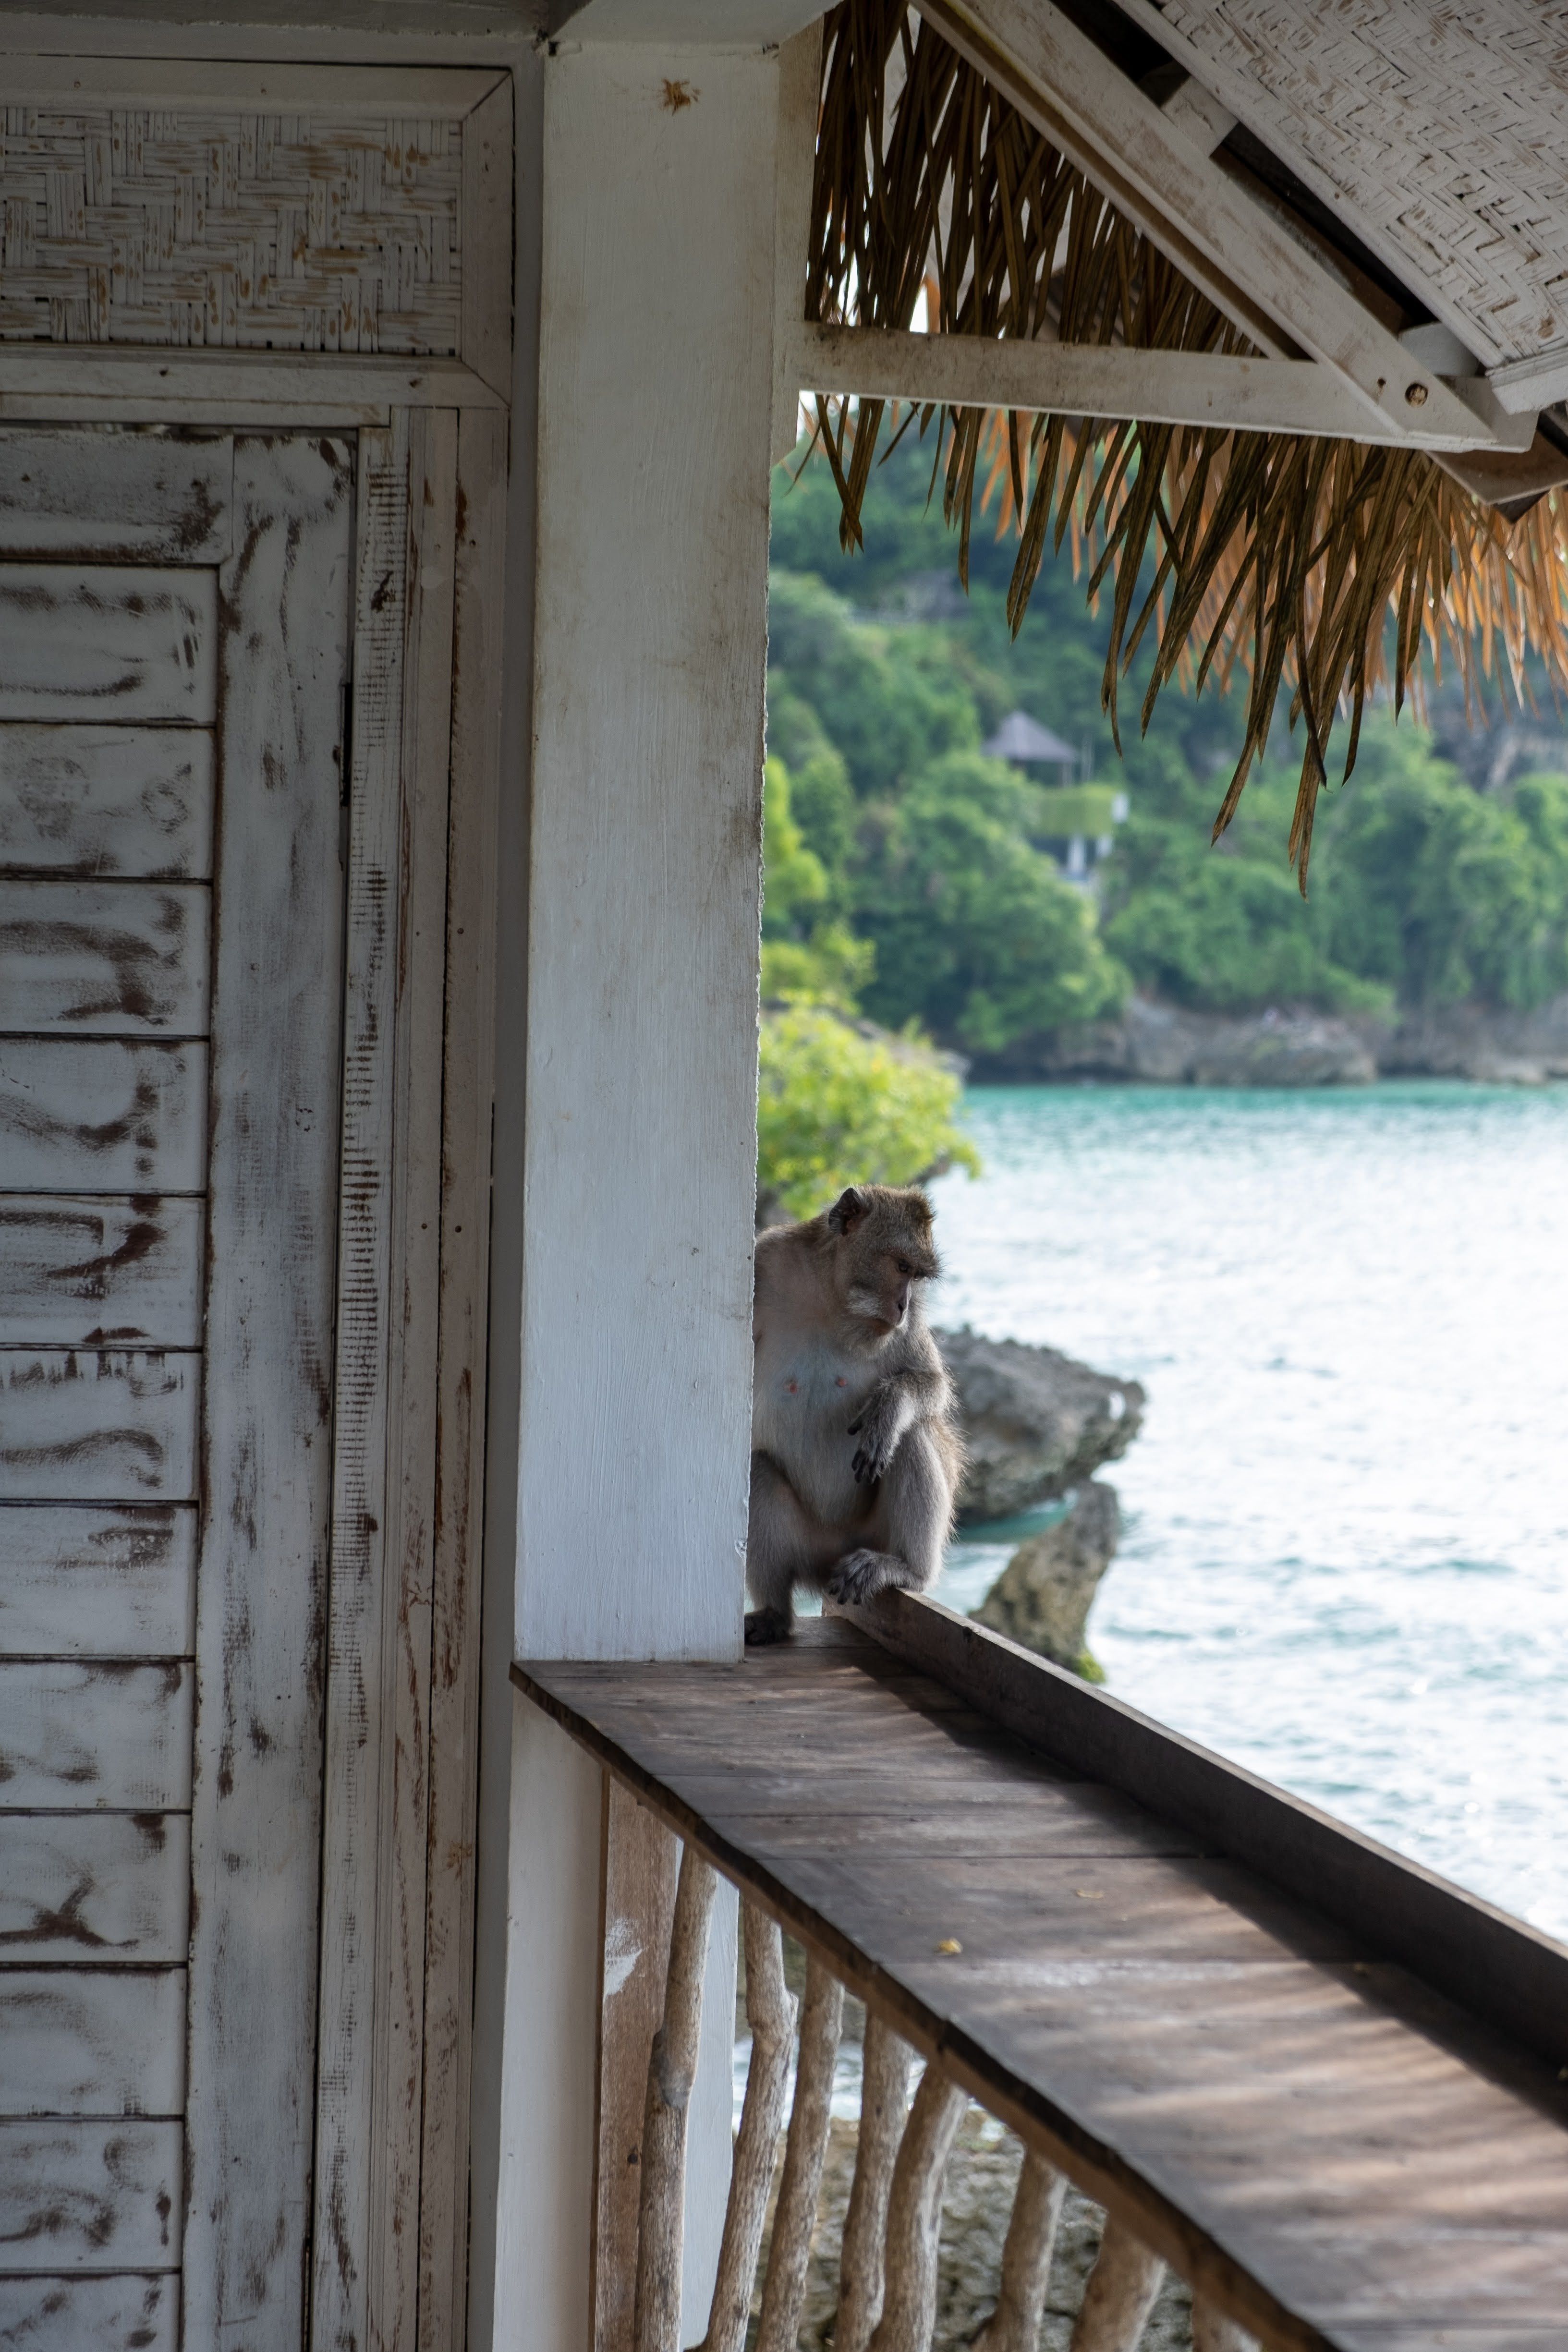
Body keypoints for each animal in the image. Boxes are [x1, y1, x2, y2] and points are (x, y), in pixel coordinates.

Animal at [745, 1183, 964, 1646]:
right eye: (901, 1266)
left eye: (918, 1277)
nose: (903, 1306)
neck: (833, 1300)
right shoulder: (766, 1261)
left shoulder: (909, 1327)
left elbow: (932, 1385)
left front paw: (890, 1407)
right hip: (808, 1544)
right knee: (756, 1469)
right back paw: (775, 1614)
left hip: (872, 1535)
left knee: (912, 1436)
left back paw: (905, 1570)